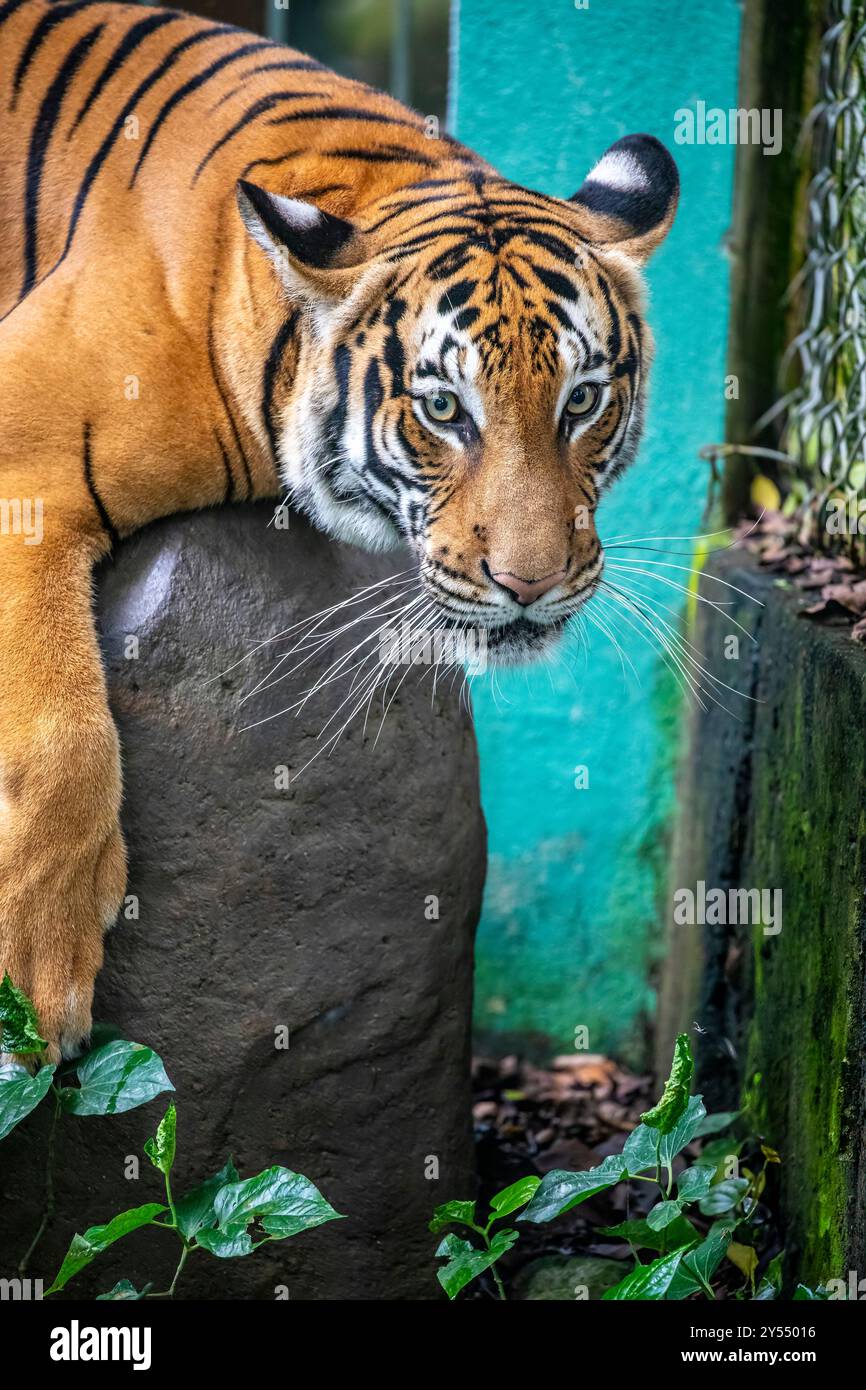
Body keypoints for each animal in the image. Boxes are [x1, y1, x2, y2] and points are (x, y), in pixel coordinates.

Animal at [0, 0, 678, 1062]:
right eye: (443, 409)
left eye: (582, 401)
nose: (531, 582)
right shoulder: (20, 464)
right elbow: (58, 724)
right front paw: (43, 986)